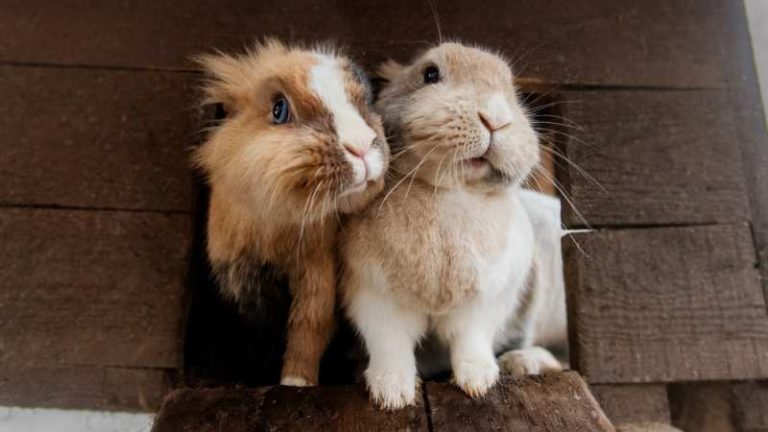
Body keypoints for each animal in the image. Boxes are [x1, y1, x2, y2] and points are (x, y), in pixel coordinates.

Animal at [194, 39, 389, 387]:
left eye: (364, 101)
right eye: (279, 109)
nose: (362, 145)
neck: (276, 227)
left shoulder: (317, 279)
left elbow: (308, 329)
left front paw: (295, 383)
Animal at [340, 42, 563, 409]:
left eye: (512, 91)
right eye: (430, 74)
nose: (496, 117)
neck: (448, 192)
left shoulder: (483, 302)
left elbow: (470, 339)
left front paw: (478, 381)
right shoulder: (372, 295)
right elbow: (390, 343)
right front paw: (392, 393)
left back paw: (524, 362)